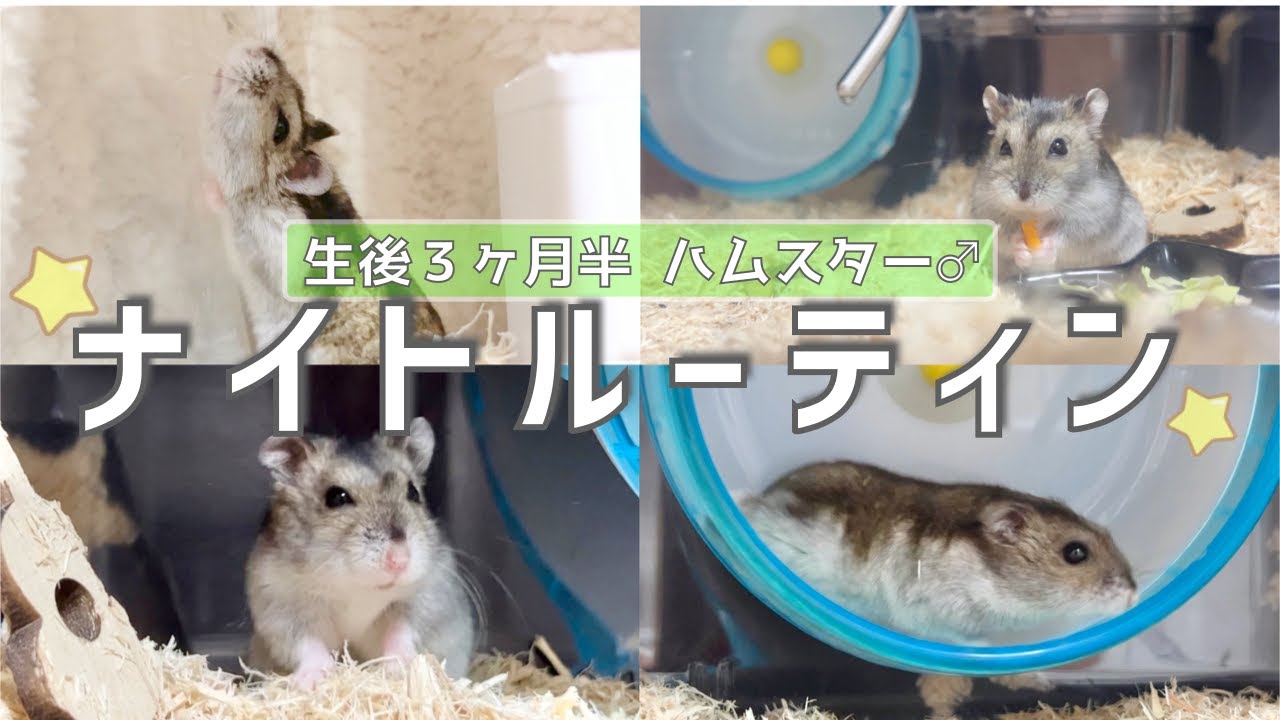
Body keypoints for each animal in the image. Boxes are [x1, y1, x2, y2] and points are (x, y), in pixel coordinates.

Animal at [245, 417, 477, 689]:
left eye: (413, 492)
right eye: (336, 497)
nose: (400, 560)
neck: (356, 587)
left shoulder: (429, 594)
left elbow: (402, 630)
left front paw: (399, 668)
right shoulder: (280, 606)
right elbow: (307, 644)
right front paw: (312, 681)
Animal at [740, 461, 1137, 644]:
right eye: (1075, 552)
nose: (1134, 595)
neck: (988, 577)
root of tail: (756, 500)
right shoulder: (930, 614)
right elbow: (961, 639)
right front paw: (987, 648)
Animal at [969, 86, 1149, 281]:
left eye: (1059, 147)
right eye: (1004, 147)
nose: (1023, 195)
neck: (1035, 216)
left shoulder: (1091, 218)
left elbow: (1064, 238)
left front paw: (1042, 251)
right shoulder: (987, 208)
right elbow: (1006, 235)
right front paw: (1022, 250)